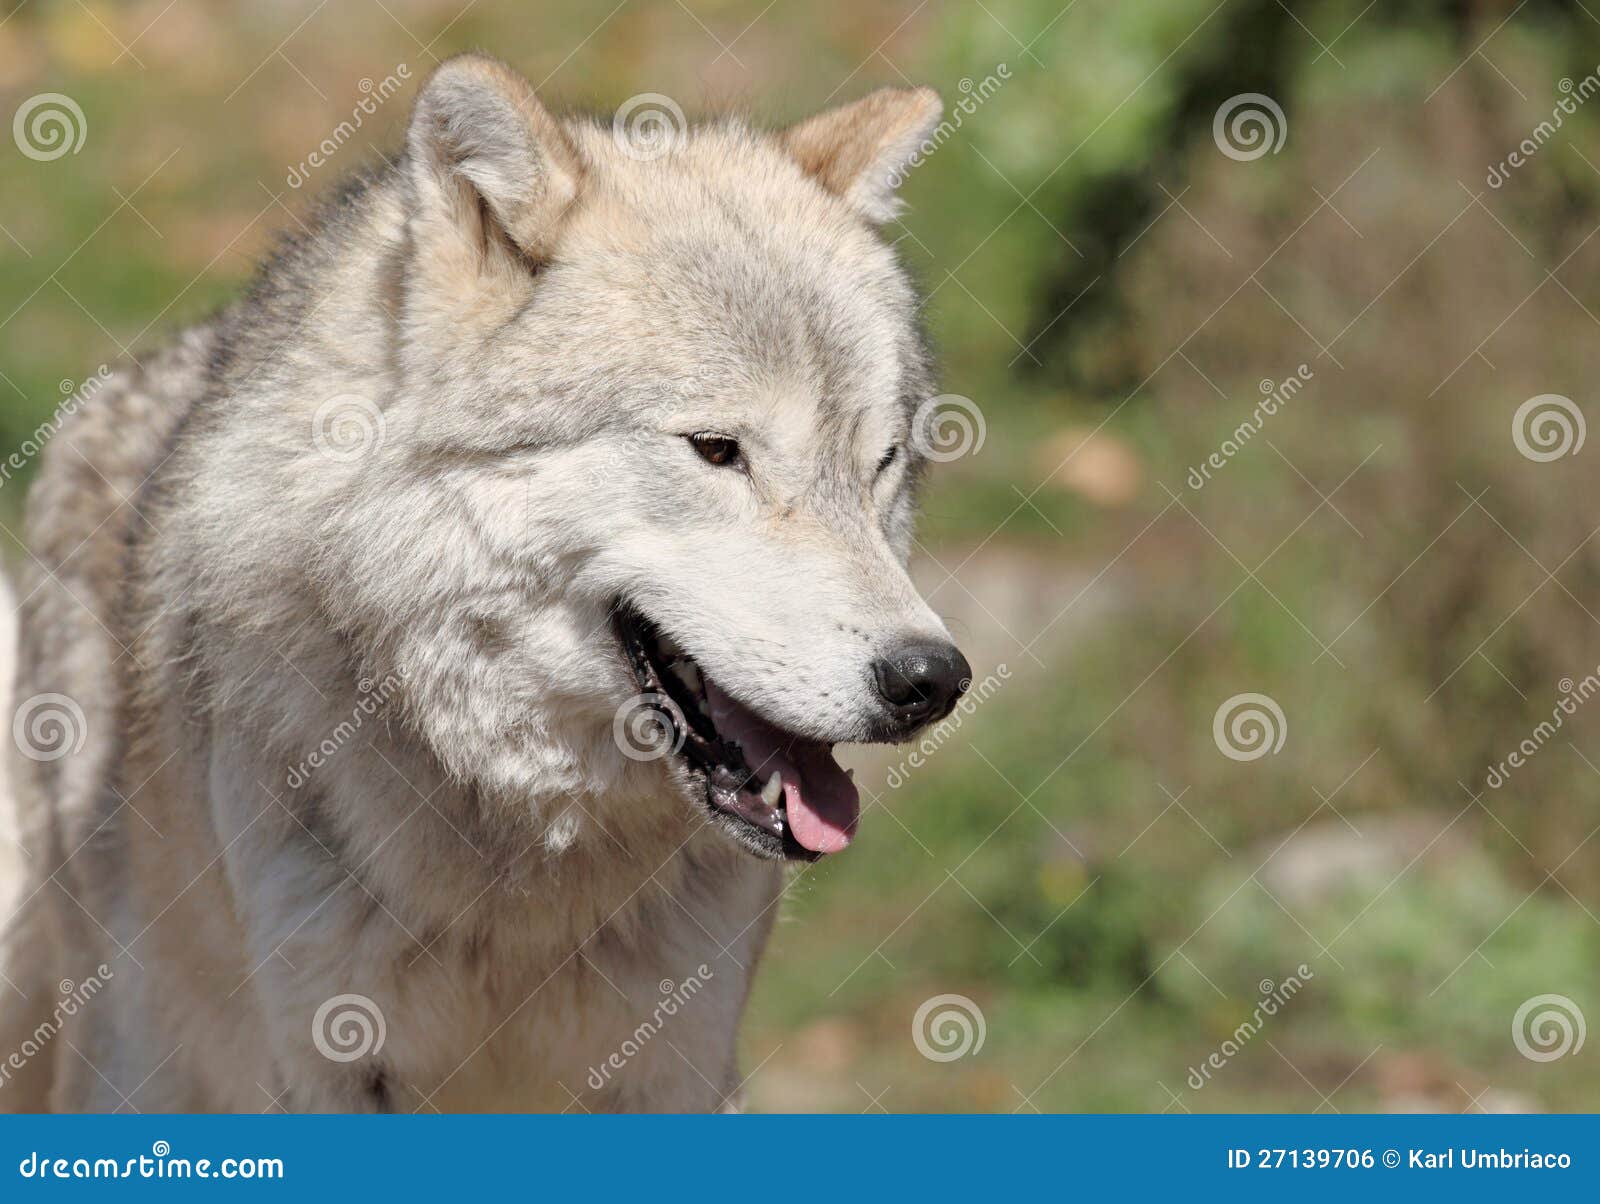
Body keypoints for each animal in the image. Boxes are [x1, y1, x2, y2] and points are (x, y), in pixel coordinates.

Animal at [0, 55, 970, 1112]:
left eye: (880, 464)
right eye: (717, 449)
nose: (931, 680)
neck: (524, 854)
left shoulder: (680, 1063)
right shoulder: (327, 1064)